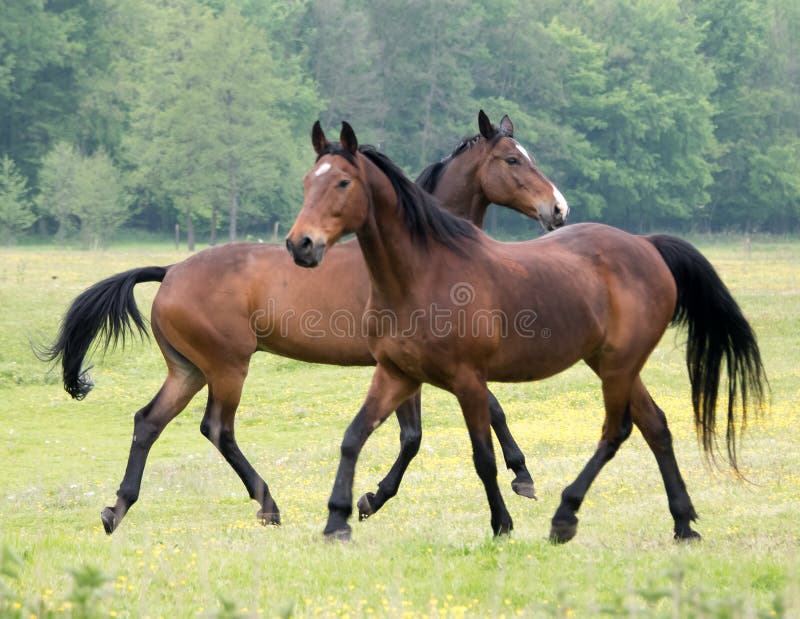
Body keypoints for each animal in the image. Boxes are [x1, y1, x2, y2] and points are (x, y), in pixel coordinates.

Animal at [38, 111, 569, 535]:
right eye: (513, 160)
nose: (559, 208)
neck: (423, 253)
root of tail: (170, 271)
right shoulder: (416, 365)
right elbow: (435, 429)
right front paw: (518, 476)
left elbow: (437, 427)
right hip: (227, 368)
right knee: (218, 428)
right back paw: (267, 504)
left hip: (187, 371)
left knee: (148, 422)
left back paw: (117, 508)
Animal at [286, 122, 767, 542]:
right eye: (308, 182)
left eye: (343, 183)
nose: (301, 244)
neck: (423, 273)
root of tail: (646, 245)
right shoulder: (396, 374)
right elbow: (355, 437)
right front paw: (339, 518)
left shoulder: (467, 379)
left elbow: (481, 455)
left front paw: (503, 520)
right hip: (612, 363)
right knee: (656, 427)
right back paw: (683, 523)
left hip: (618, 365)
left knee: (617, 431)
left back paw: (566, 515)